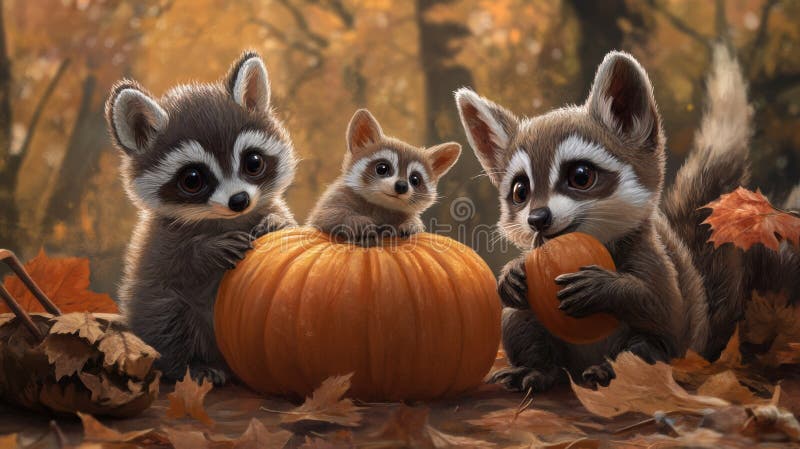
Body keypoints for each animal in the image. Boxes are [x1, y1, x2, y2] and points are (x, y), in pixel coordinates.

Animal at [106, 51, 297, 384]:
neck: (223, 219)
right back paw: (188, 365)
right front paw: (207, 250)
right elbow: (178, 262)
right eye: (193, 180)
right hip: (154, 307)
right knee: (165, 313)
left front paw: (275, 221)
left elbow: (287, 221)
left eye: (253, 162)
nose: (239, 201)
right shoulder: (160, 239)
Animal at [306, 109, 461, 245]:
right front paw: (355, 220)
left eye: (415, 180)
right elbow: (325, 215)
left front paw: (412, 224)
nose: (402, 186)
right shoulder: (335, 196)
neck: (381, 204)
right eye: (382, 169)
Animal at [455, 45, 756, 392]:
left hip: (673, 350)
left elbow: (662, 307)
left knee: (647, 347)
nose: (538, 218)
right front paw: (511, 270)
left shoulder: (654, 261)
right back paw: (539, 368)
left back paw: (612, 371)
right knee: (518, 318)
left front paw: (610, 287)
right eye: (520, 190)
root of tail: (576, 369)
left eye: (581, 176)